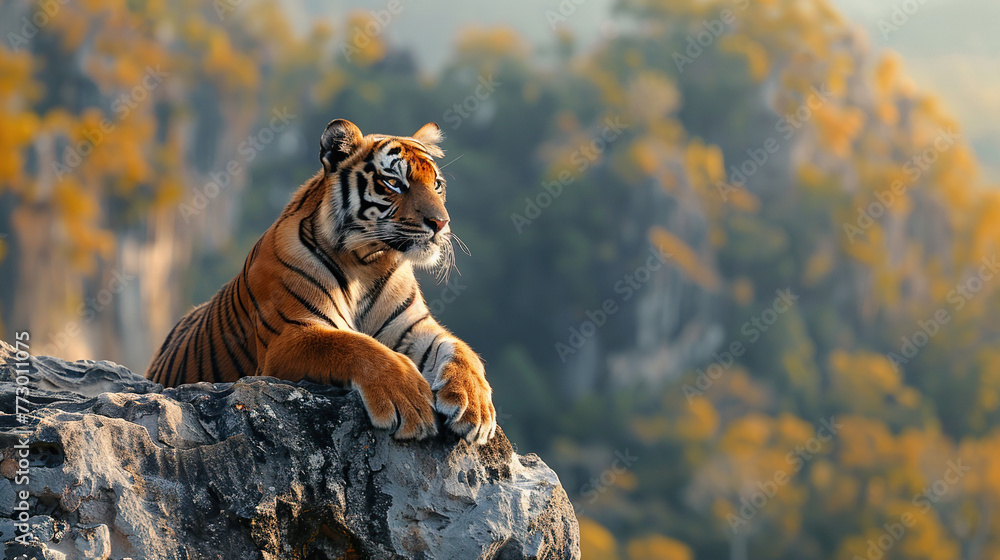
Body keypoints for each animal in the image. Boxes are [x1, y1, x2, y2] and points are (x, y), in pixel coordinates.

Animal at [146, 119, 496, 444]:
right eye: (393, 182)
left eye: (436, 184)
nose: (441, 223)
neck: (369, 262)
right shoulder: (290, 334)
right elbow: (357, 346)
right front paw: (409, 400)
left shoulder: (413, 328)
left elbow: (461, 349)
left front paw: (476, 406)